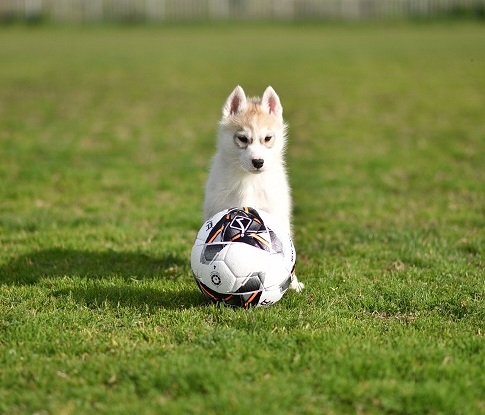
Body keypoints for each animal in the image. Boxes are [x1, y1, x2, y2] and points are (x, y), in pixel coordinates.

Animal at [203, 85, 302, 292]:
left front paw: (294, 283)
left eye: (267, 138)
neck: (250, 180)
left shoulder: (275, 212)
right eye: (242, 138)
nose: (258, 162)